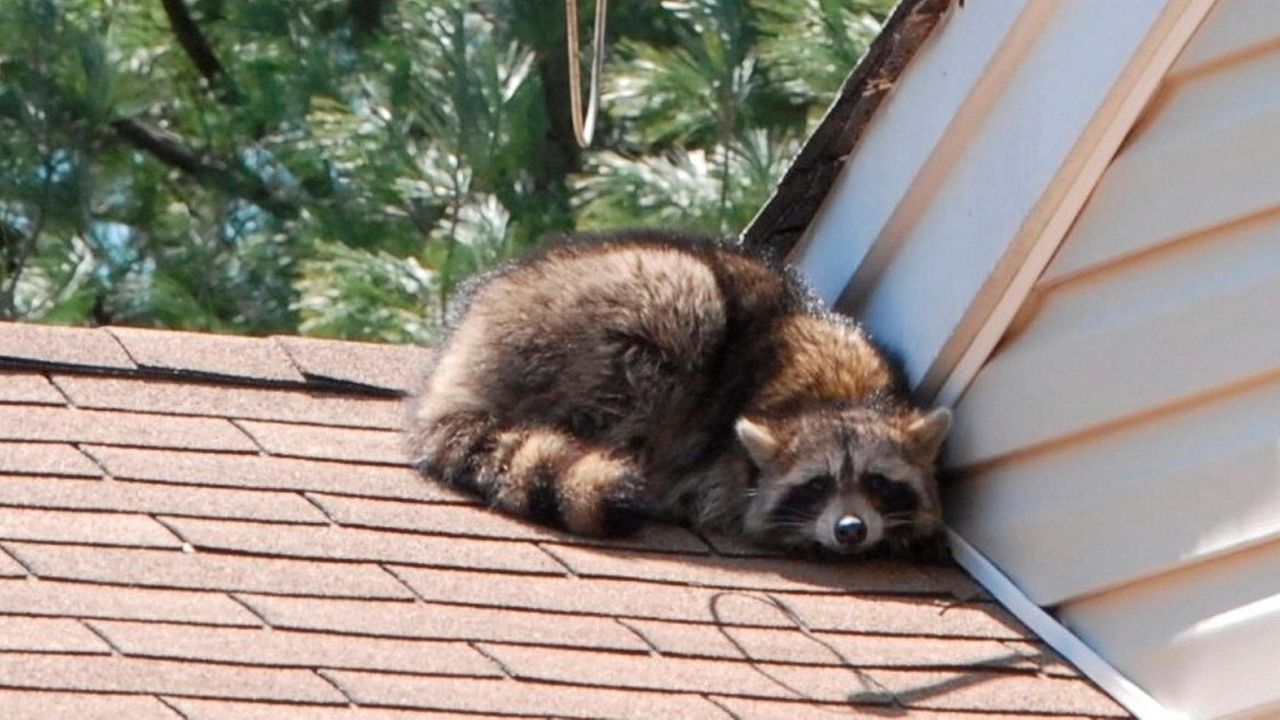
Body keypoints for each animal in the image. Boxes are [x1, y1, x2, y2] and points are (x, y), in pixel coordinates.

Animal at [407, 231, 951, 557]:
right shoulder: (724, 455)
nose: (850, 530)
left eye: (878, 481)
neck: (839, 398)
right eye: (817, 484)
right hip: (592, 328)